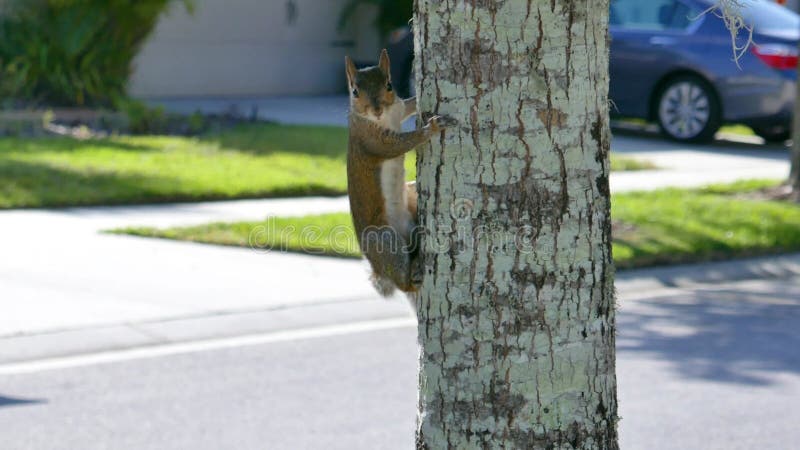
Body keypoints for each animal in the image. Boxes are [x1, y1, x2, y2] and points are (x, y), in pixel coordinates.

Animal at [345, 49, 443, 297]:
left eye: (389, 85)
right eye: (355, 91)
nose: (377, 109)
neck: (386, 117)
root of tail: (378, 269)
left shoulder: (399, 108)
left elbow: (408, 105)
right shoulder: (371, 140)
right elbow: (399, 144)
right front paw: (430, 129)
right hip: (382, 239)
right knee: (402, 280)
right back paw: (411, 277)